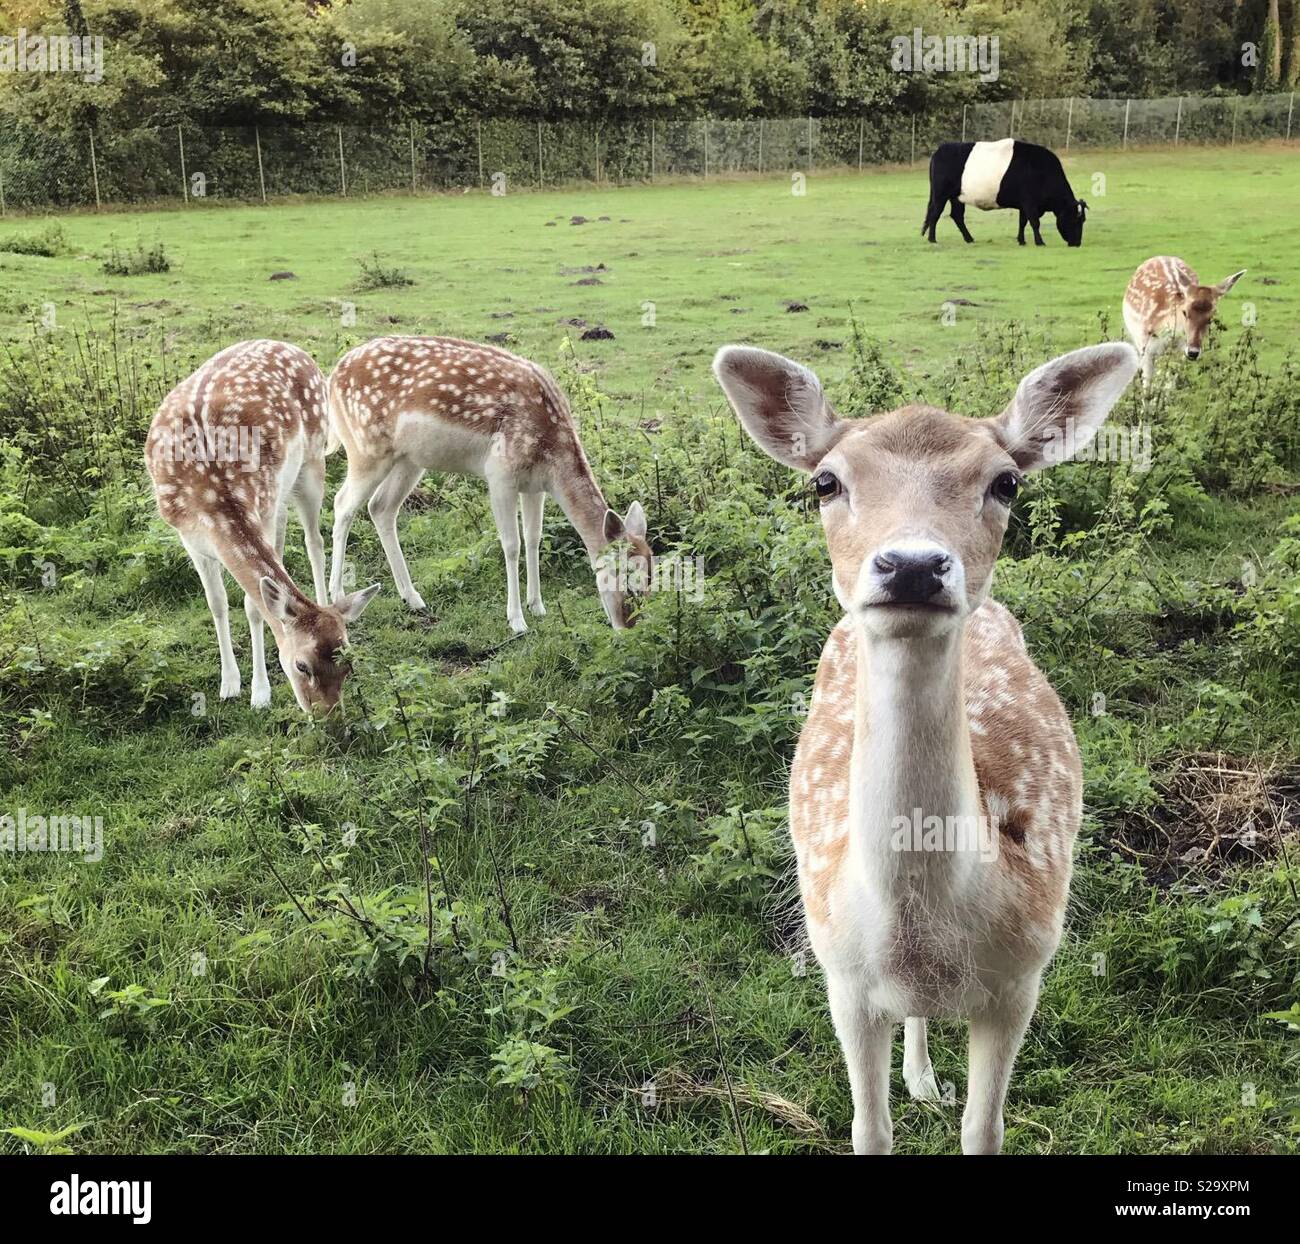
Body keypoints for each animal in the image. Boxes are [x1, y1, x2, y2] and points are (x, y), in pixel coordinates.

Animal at [145, 340, 380, 713]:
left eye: (349, 663)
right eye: (302, 665)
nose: (329, 716)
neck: (211, 499)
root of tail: (292, 347)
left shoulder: (261, 510)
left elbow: (254, 606)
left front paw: (260, 692)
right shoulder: (189, 538)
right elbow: (217, 602)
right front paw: (229, 683)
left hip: (310, 463)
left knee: (314, 541)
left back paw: (323, 596)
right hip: (280, 493)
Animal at [325, 336, 651, 634]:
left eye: (650, 581)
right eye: (628, 582)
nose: (628, 627)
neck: (549, 450)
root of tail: (333, 377)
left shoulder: (535, 486)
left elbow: (534, 538)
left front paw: (538, 606)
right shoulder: (501, 475)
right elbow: (511, 544)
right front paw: (517, 620)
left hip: (409, 459)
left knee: (380, 507)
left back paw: (413, 597)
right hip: (367, 448)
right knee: (342, 504)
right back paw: (336, 593)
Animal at [713, 340, 1140, 1154]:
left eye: (1006, 481)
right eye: (825, 480)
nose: (912, 564)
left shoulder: (1022, 978)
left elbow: (985, 1129)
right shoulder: (842, 979)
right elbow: (868, 1130)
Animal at [922, 138, 1087, 246]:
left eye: (1083, 220)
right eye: (1074, 219)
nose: (1077, 243)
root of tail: (939, 151)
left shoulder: (1024, 204)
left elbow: (1023, 222)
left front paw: (1022, 241)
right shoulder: (1029, 202)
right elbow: (1034, 222)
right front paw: (1040, 242)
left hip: (956, 197)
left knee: (956, 216)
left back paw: (969, 239)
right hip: (940, 194)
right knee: (935, 213)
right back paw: (932, 239)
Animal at [1122, 256, 1247, 386]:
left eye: (1211, 318)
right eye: (1185, 312)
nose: (1193, 352)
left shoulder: (1181, 351)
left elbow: (1169, 382)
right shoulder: (1145, 346)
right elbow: (1148, 385)